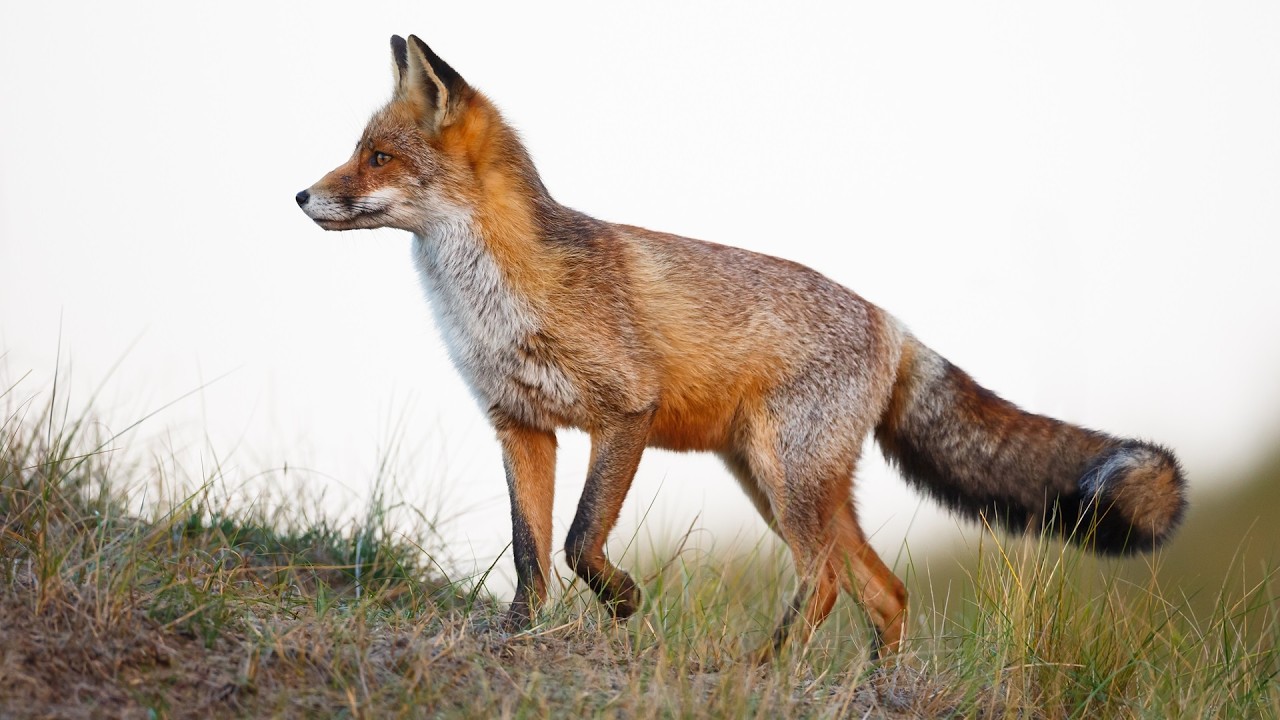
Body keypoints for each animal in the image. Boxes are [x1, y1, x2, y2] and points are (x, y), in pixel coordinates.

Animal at [297, 35, 1187, 661]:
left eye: (378, 157)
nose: (301, 194)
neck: (496, 297)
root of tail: (891, 321)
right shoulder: (520, 425)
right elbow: (529, 554)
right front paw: (516, 637)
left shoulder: (627, 413)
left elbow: (580, 540)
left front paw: (623, 603)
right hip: (779, 483)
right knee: (885, 592)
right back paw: (864, 688)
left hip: (785, 479)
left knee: (827, 582)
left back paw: (762, 670)